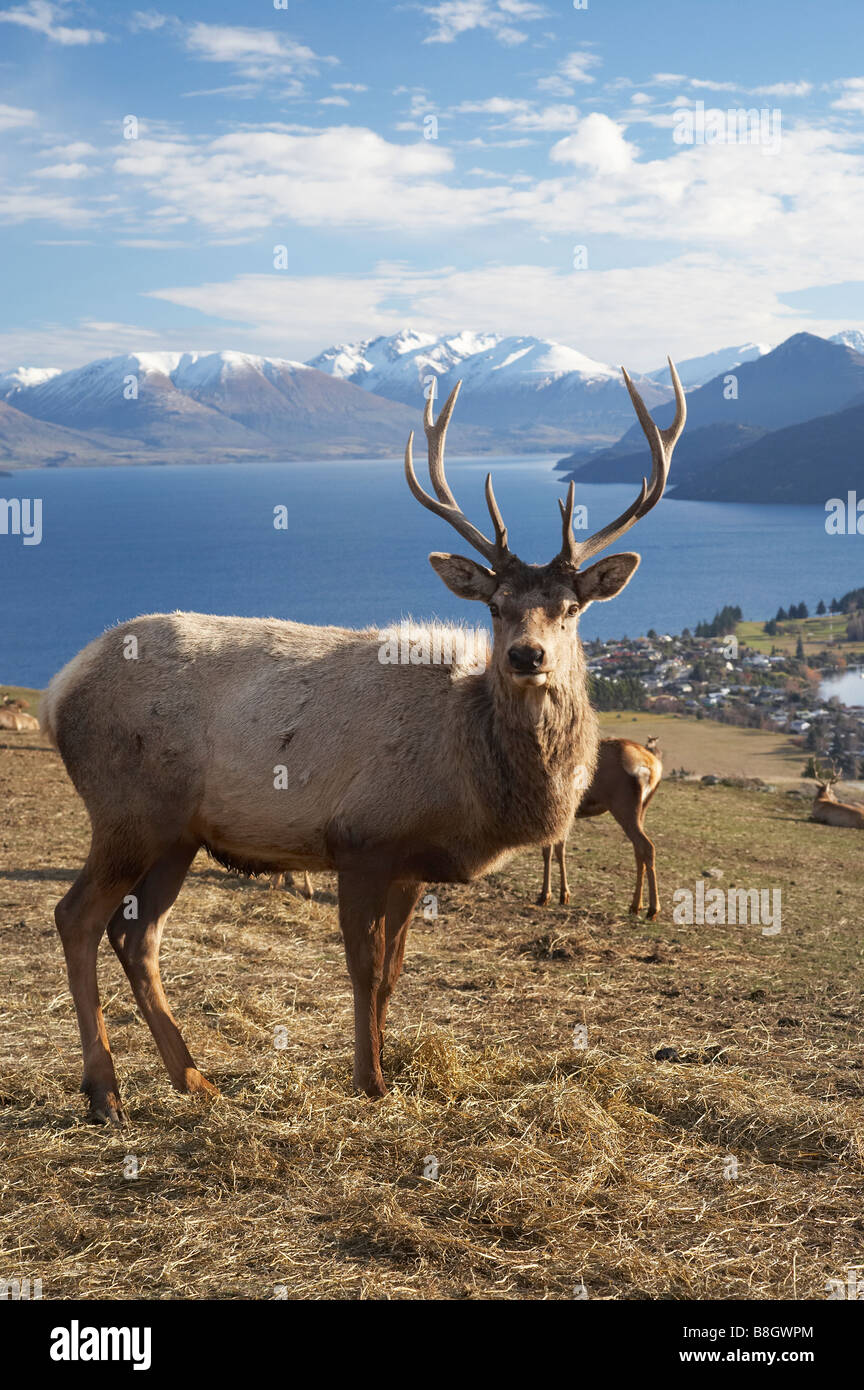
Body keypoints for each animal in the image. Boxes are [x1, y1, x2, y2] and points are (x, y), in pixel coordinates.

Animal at [538, 737, 663, 917]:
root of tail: (653, 768)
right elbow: (560, 849)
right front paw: (564, 895)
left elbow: (548, 851)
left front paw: (544, 895)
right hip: (642, 811)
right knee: (639, 851)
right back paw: (635, 906)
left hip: (624, 809)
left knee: (647, 846)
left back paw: (652, 909)